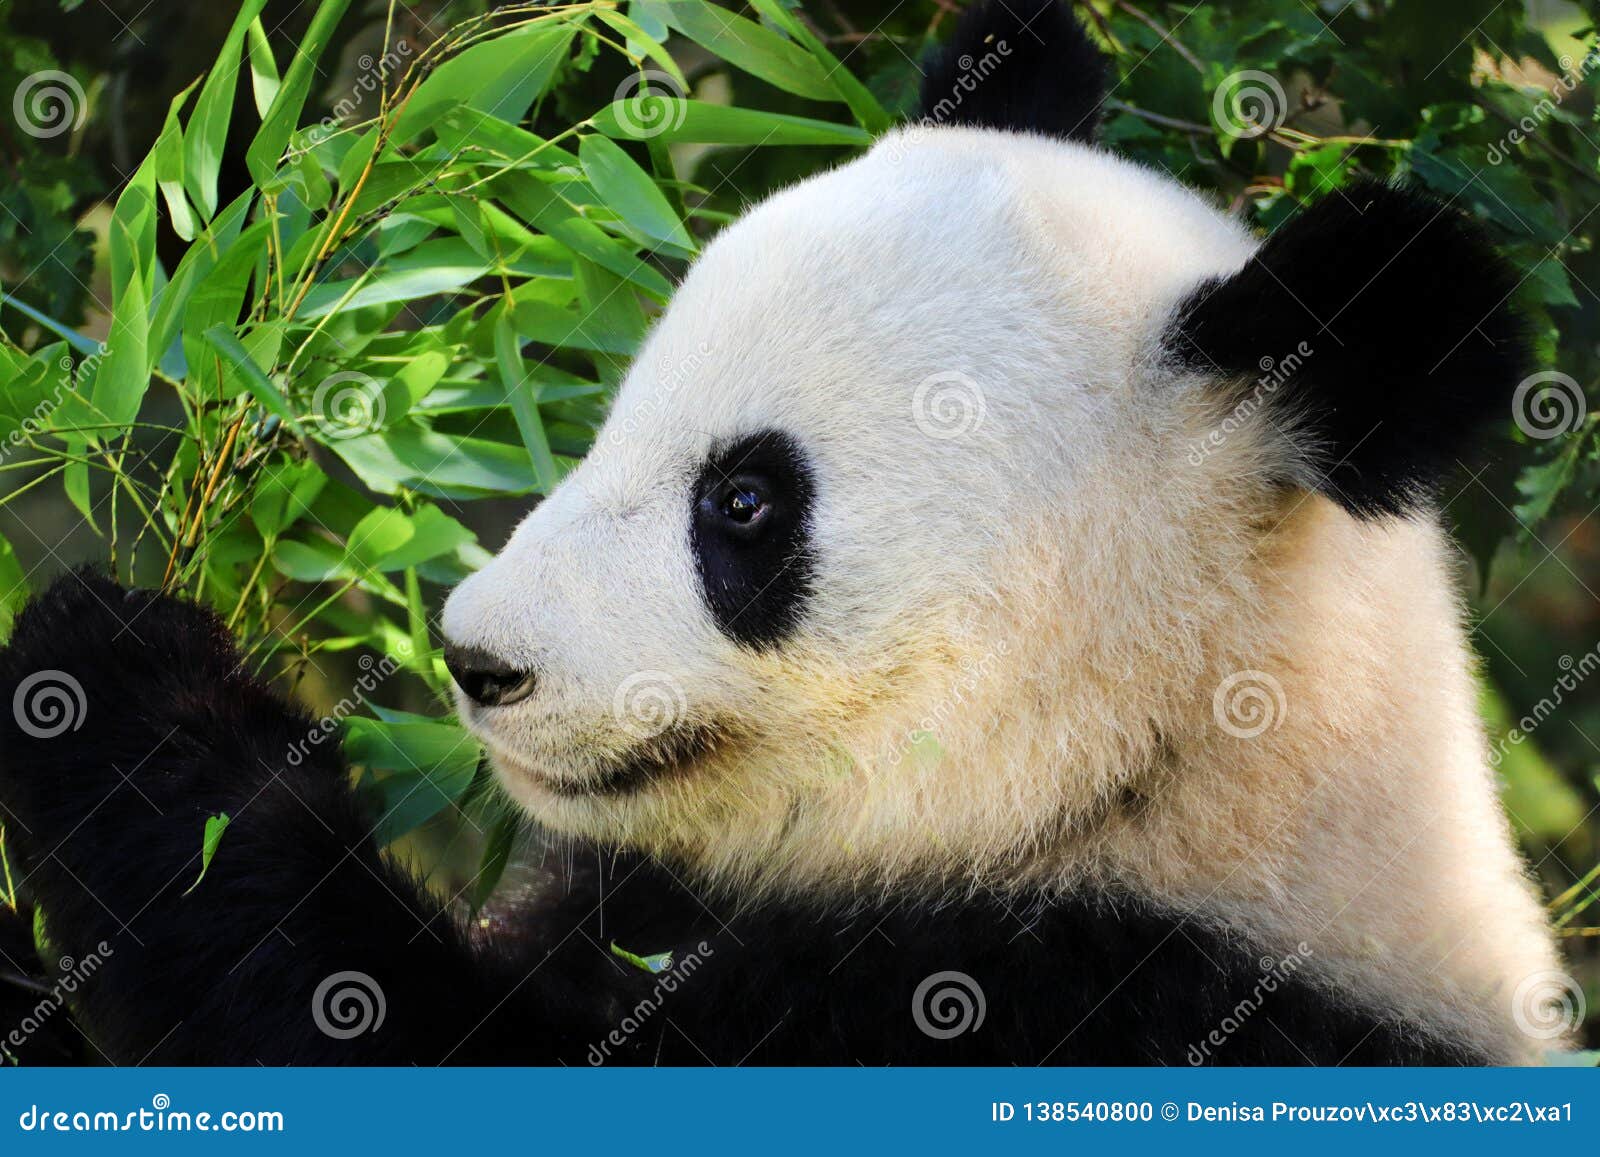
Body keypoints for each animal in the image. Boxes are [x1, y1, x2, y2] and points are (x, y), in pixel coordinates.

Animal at [0, 0, 1567, 1066]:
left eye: (742, 503)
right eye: (615, 409)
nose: (478, 660)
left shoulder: (1085, 998)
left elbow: (391, 1027)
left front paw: (120, 679)